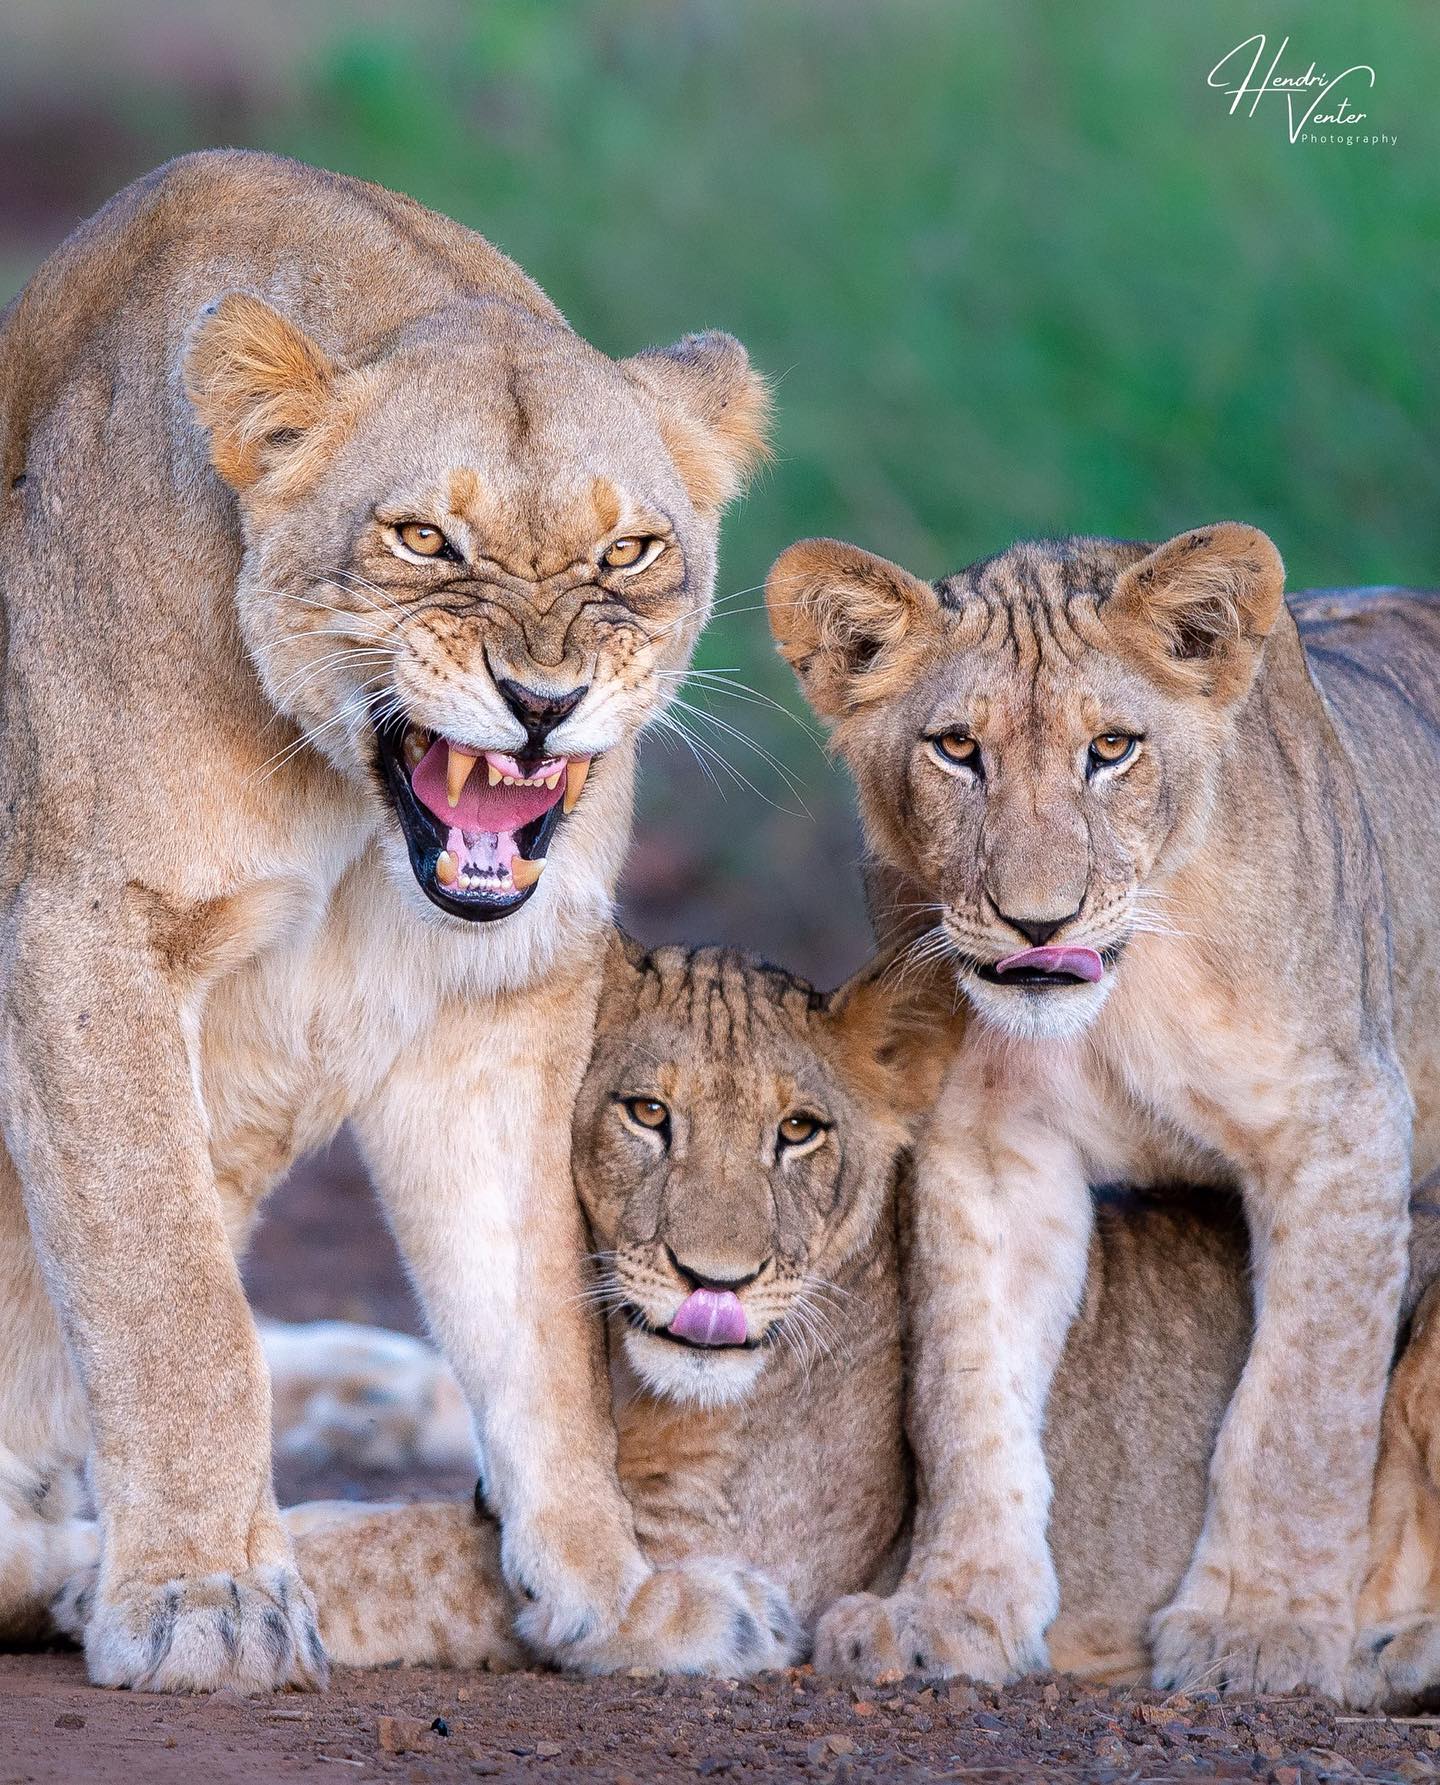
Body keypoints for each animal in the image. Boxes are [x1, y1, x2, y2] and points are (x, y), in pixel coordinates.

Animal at [0, 149, 771, 1692]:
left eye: (627, 550)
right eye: (424, 539)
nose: (542, 701)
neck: (347, 805)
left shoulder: (507, 999)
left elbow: (535, 1322)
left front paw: (616, 1587)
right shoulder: (87, 935)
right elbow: (171, 1300)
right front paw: (204, 1597)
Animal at [43, 938, 1440, 1708]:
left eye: (799, 1131)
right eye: (647, 1113)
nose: (711, 1275)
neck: (642, 1391)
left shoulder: (733, 1551)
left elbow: (372, 1550)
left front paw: (86, 1577)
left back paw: (1383, 1653)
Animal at [765, 529, 1440, 1695]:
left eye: (1113, 748)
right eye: (957, 749)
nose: (1040, 924)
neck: (1125, 998)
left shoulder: (1342, 1123)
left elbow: (1301, 1402)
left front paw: (1259, 1630)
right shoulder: (986, 1141)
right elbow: (966, 1396)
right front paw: (952, 1610)